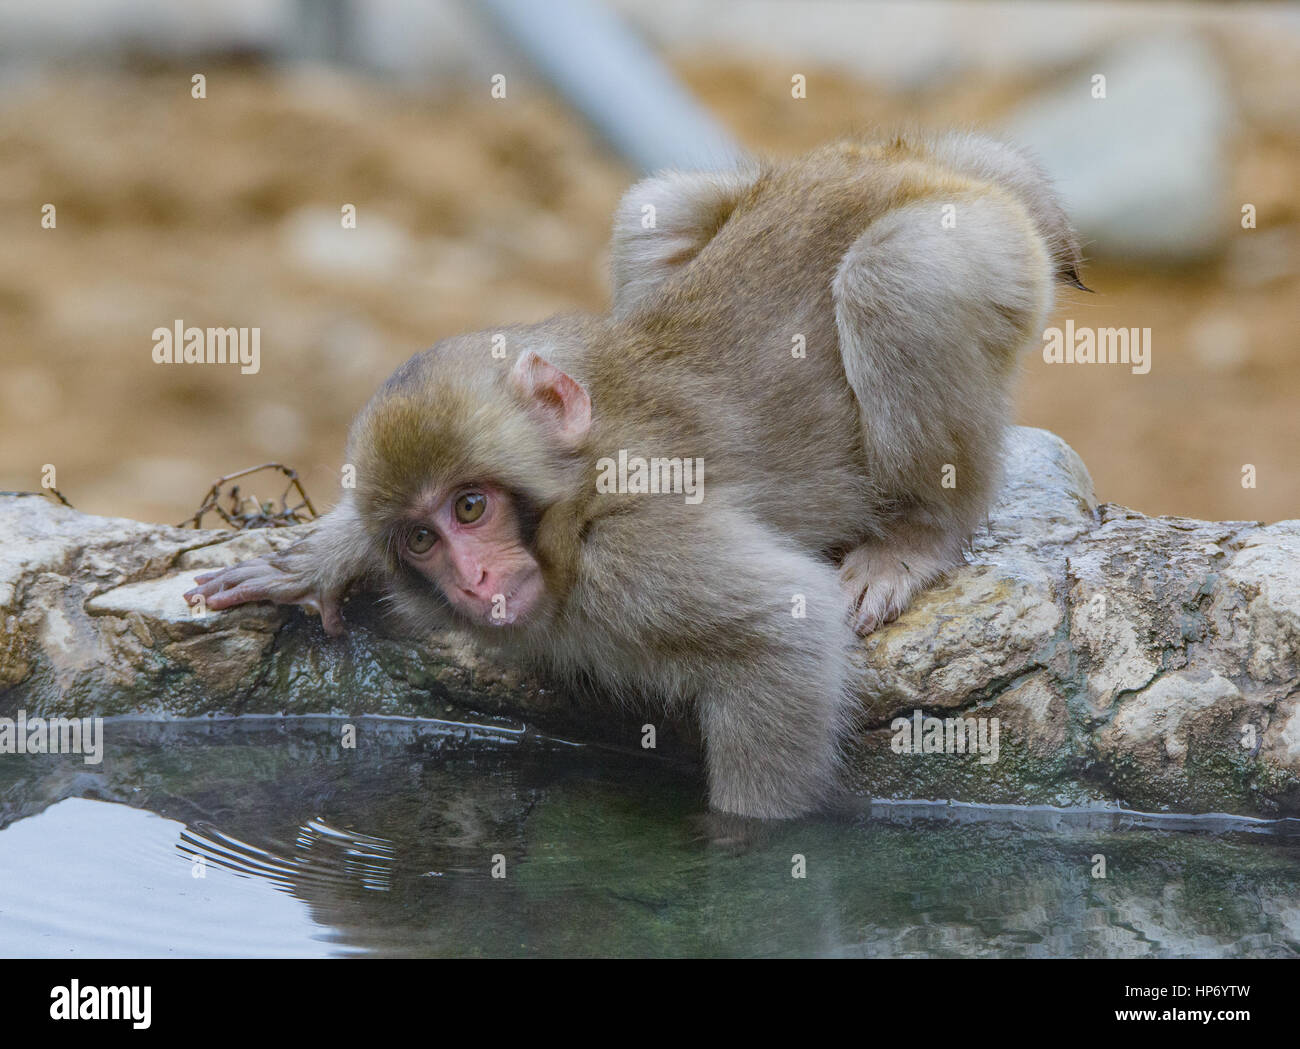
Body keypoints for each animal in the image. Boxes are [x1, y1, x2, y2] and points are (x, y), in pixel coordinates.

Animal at [187, 131, 1081, 820]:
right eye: (419, 538)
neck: (570, 506)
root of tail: (921, 164)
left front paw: (748, 847)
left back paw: (916, 536)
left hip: (983, 245)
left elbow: (783, 633)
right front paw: (319, 554)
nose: (474, 578)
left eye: (470, 508)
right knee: (651, 214)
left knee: (898, 272)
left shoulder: (638, 550)